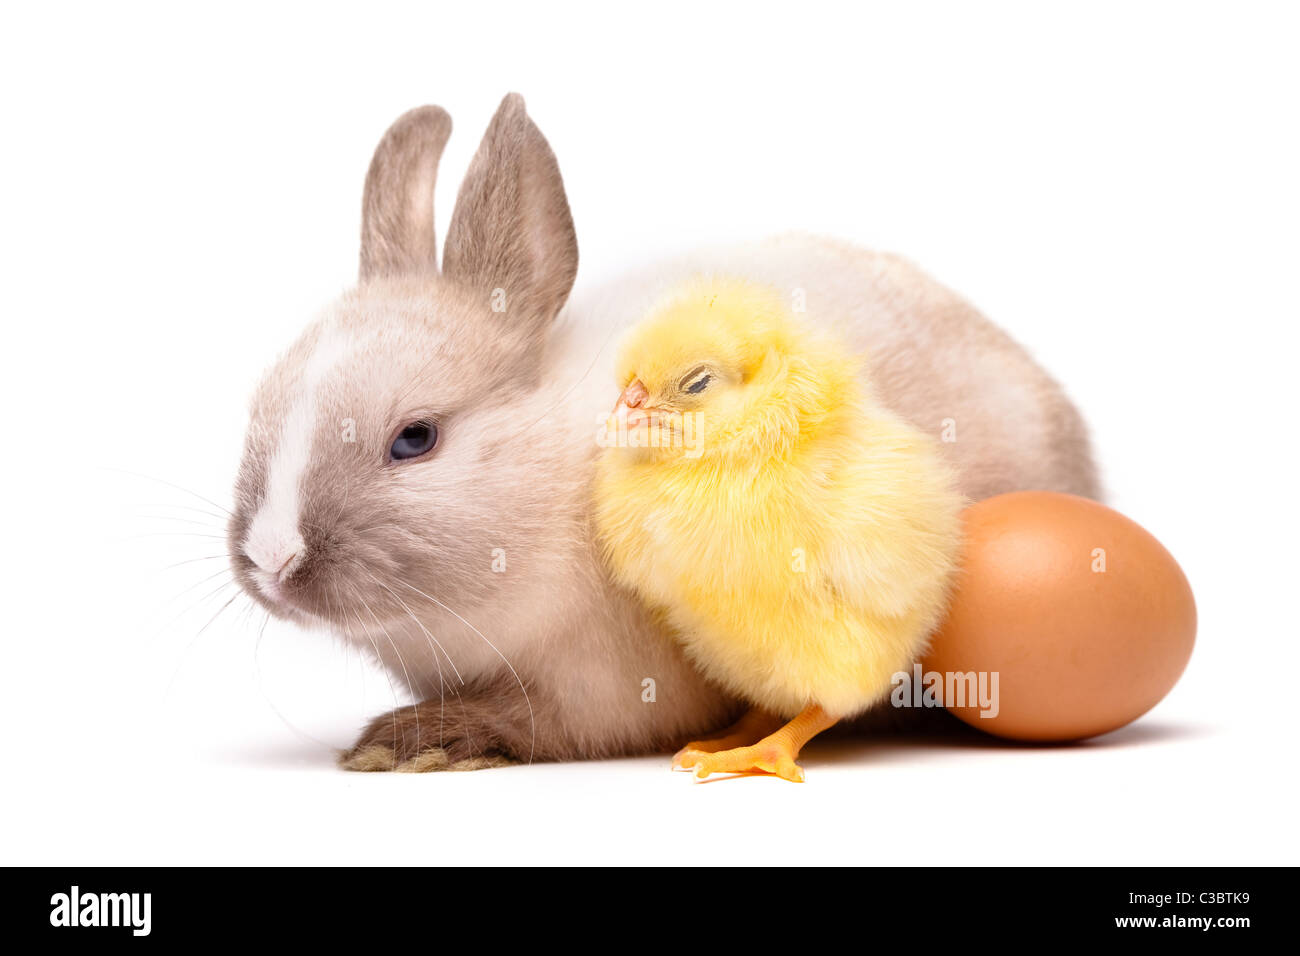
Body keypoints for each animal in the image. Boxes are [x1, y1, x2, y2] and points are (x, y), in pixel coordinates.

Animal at [227, 93, 1100, 772]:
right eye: (259, 410)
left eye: (414, 439)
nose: (272, 558)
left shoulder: (603, 688)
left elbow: (540, 723)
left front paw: (418, 741)